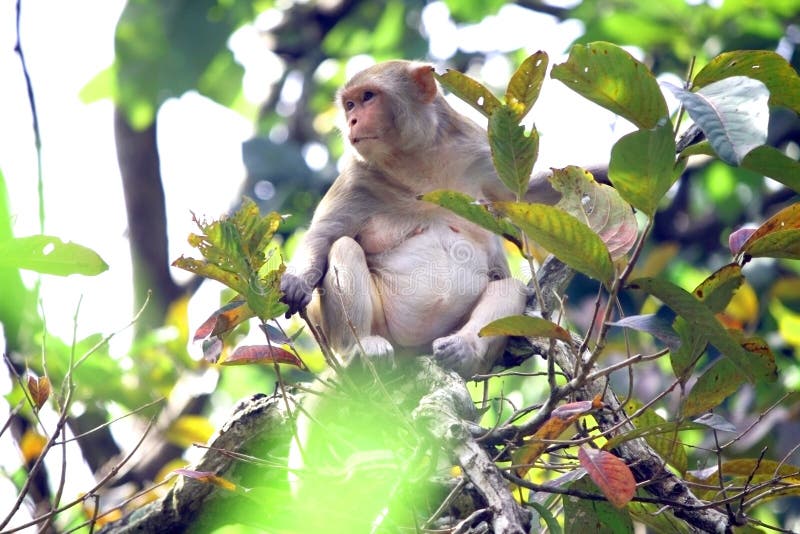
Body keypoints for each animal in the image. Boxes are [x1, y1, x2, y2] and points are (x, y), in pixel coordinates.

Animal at [281, 60, 554, 378]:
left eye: (367, 97)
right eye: (349, 105)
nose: (352, 121)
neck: (415, 160)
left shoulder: (478, 150)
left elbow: (527, 197)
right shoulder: (357, 177)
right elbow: (324, 235)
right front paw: (296, 281)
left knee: (510, 287)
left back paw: (463, 349)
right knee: (344, 247)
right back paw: (361, 351)